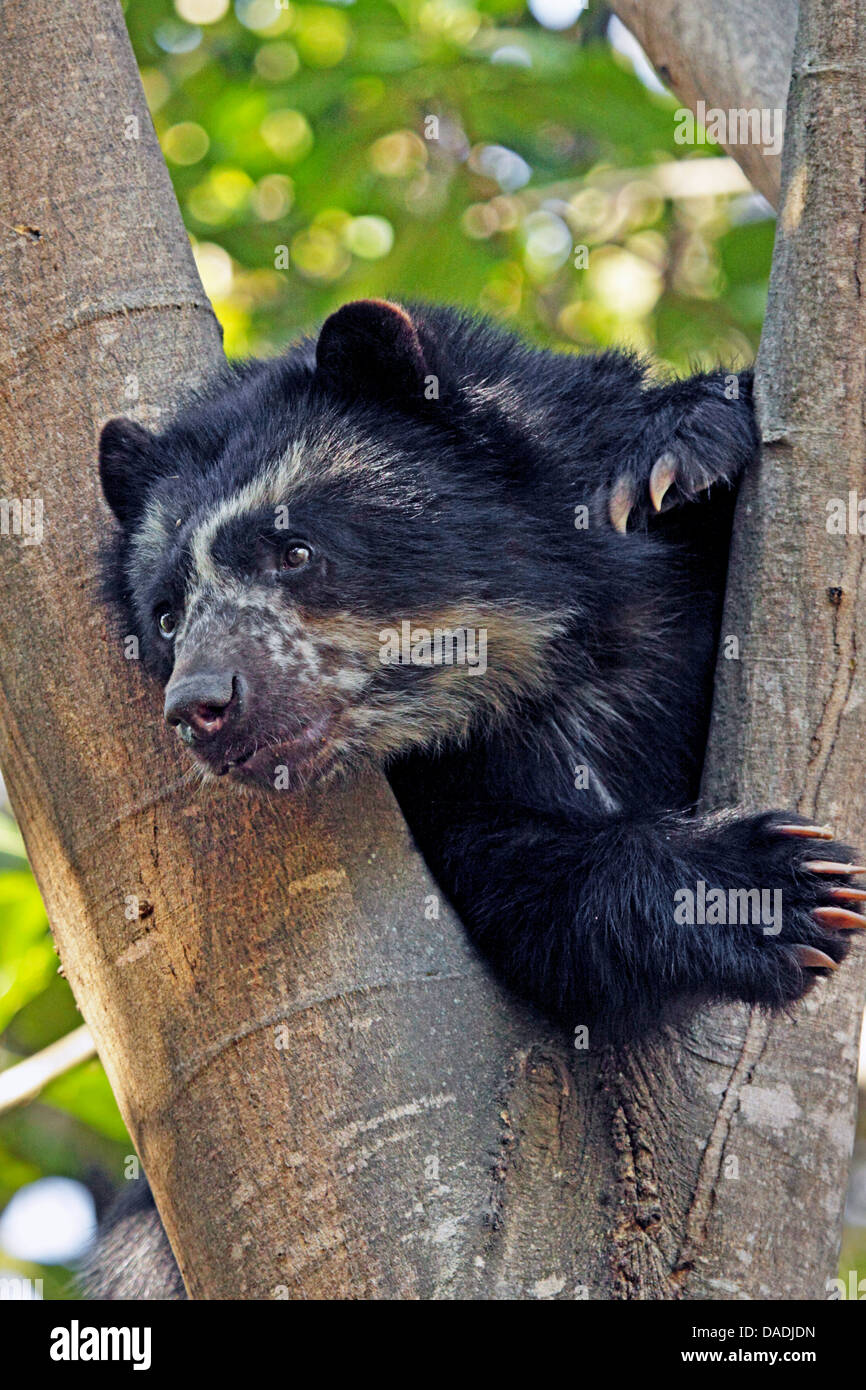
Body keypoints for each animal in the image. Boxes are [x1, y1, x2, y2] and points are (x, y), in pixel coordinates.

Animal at [87, 298, 863, 1297]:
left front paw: (677, 450)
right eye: (167, 615)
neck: (533, 663)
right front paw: (777, 889)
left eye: (296, 551)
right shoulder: (449, 793)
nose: (202, 708)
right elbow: (522, 888)